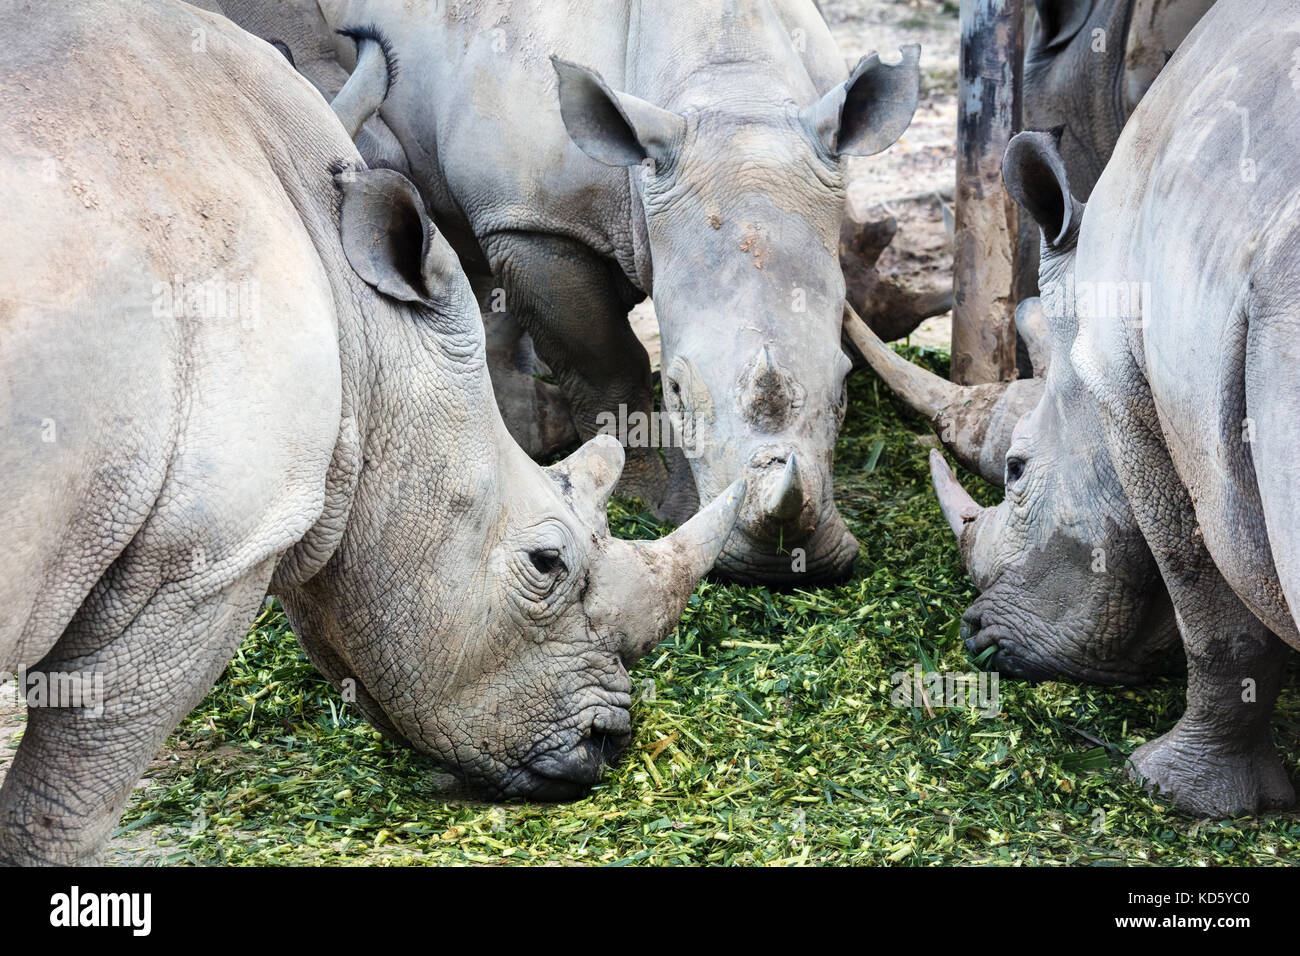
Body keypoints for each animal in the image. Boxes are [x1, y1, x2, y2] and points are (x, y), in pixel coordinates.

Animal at [218, 0, 921, 585]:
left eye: (845, 385)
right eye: (677, 392)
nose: (782, 567)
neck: (730, 93)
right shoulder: (533, 219)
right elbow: (604, 361)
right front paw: (652, 500)